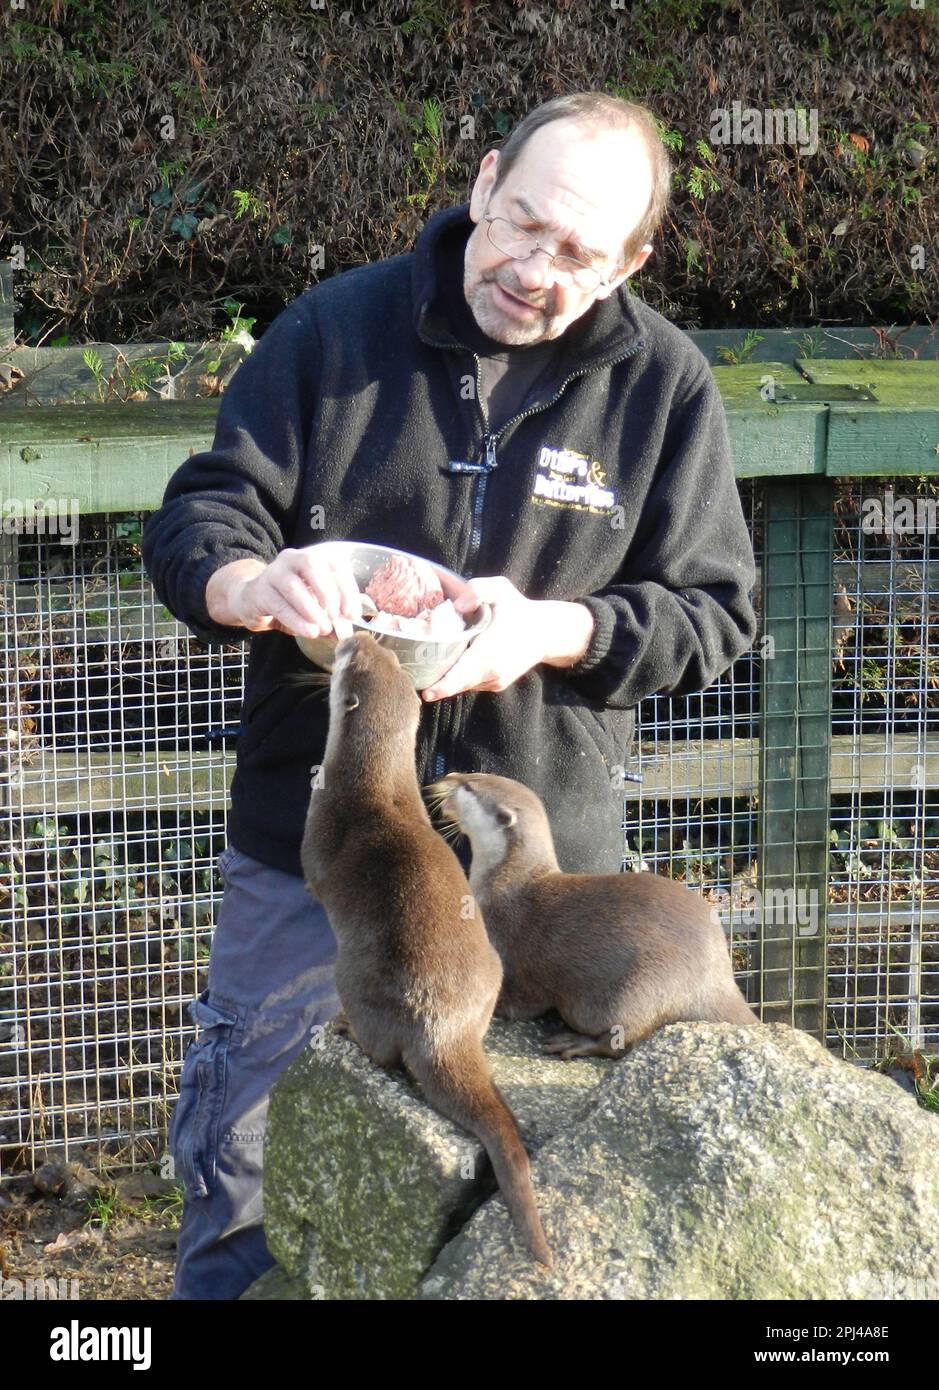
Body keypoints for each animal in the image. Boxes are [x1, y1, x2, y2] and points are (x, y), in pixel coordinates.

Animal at [300, 633, 552, 1267]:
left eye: (350, 662)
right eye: (384, 654)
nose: (355, 633)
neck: (376, 788)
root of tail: (444, 1026)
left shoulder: (318, 836)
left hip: (356, 978)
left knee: (381, 1048)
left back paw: (343, 1028)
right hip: (489, 974)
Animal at [427, 772, 760, 1059]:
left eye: (470, 786)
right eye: (473, 773)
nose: (448, 777)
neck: (506, 881)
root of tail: (717, 980)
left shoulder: (510, 948)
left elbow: (518, 1003)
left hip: (640, 991)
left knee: (622, 1039)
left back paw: (575, 1043)